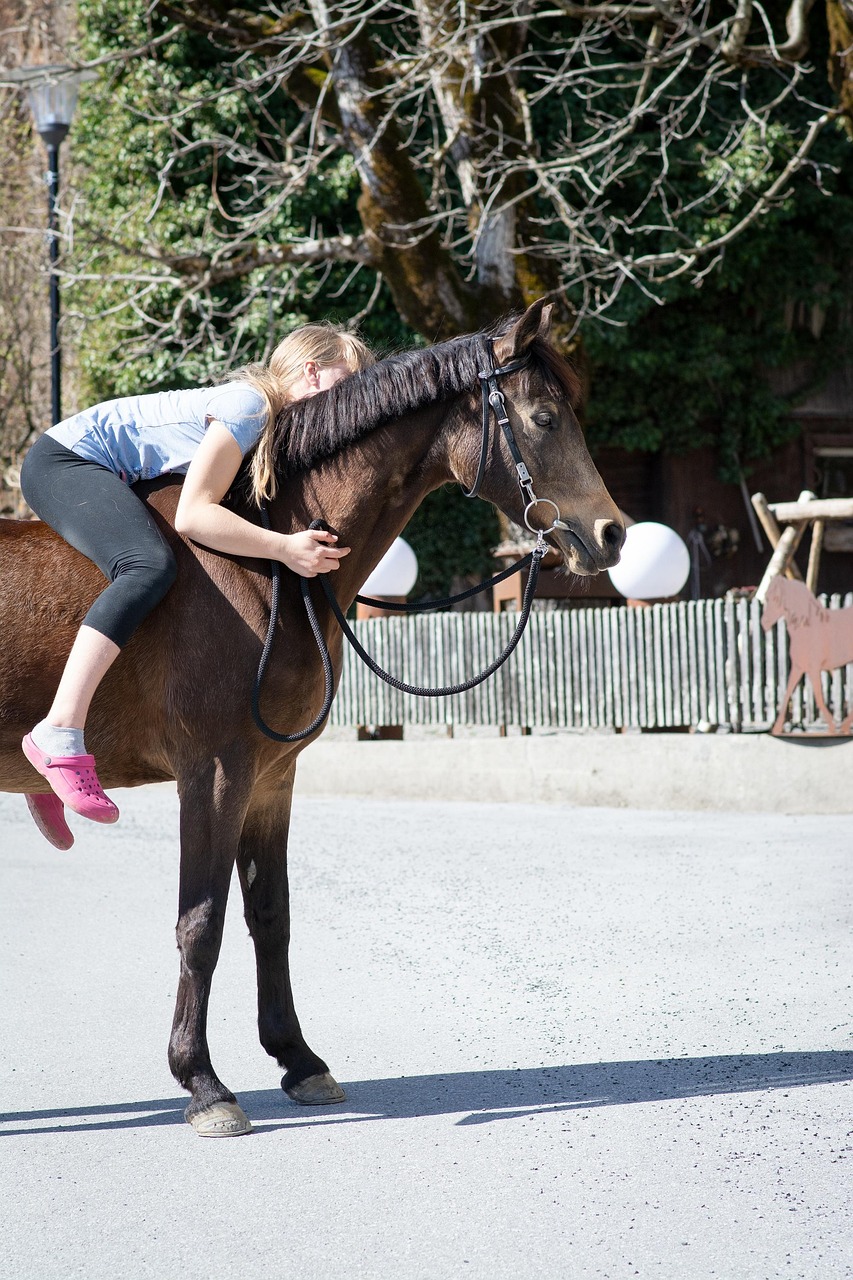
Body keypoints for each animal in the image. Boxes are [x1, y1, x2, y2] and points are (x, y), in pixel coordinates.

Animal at [0, 300, 624, 1136]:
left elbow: (271, 916)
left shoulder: (271, 777)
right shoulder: (214, 774)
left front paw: (298, 1060)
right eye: (544, 417)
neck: (261, 564)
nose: (612, 534)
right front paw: (204, 1084)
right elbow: (201, 923)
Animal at [761, 575, 853, 735]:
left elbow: (819, 697)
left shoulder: (814, 669)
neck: (807, 627)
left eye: (777, 598)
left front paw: (832, 727)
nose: (764, 623)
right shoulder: (798, 668)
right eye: (767, 596)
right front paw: (777, 728)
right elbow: (787, 693)